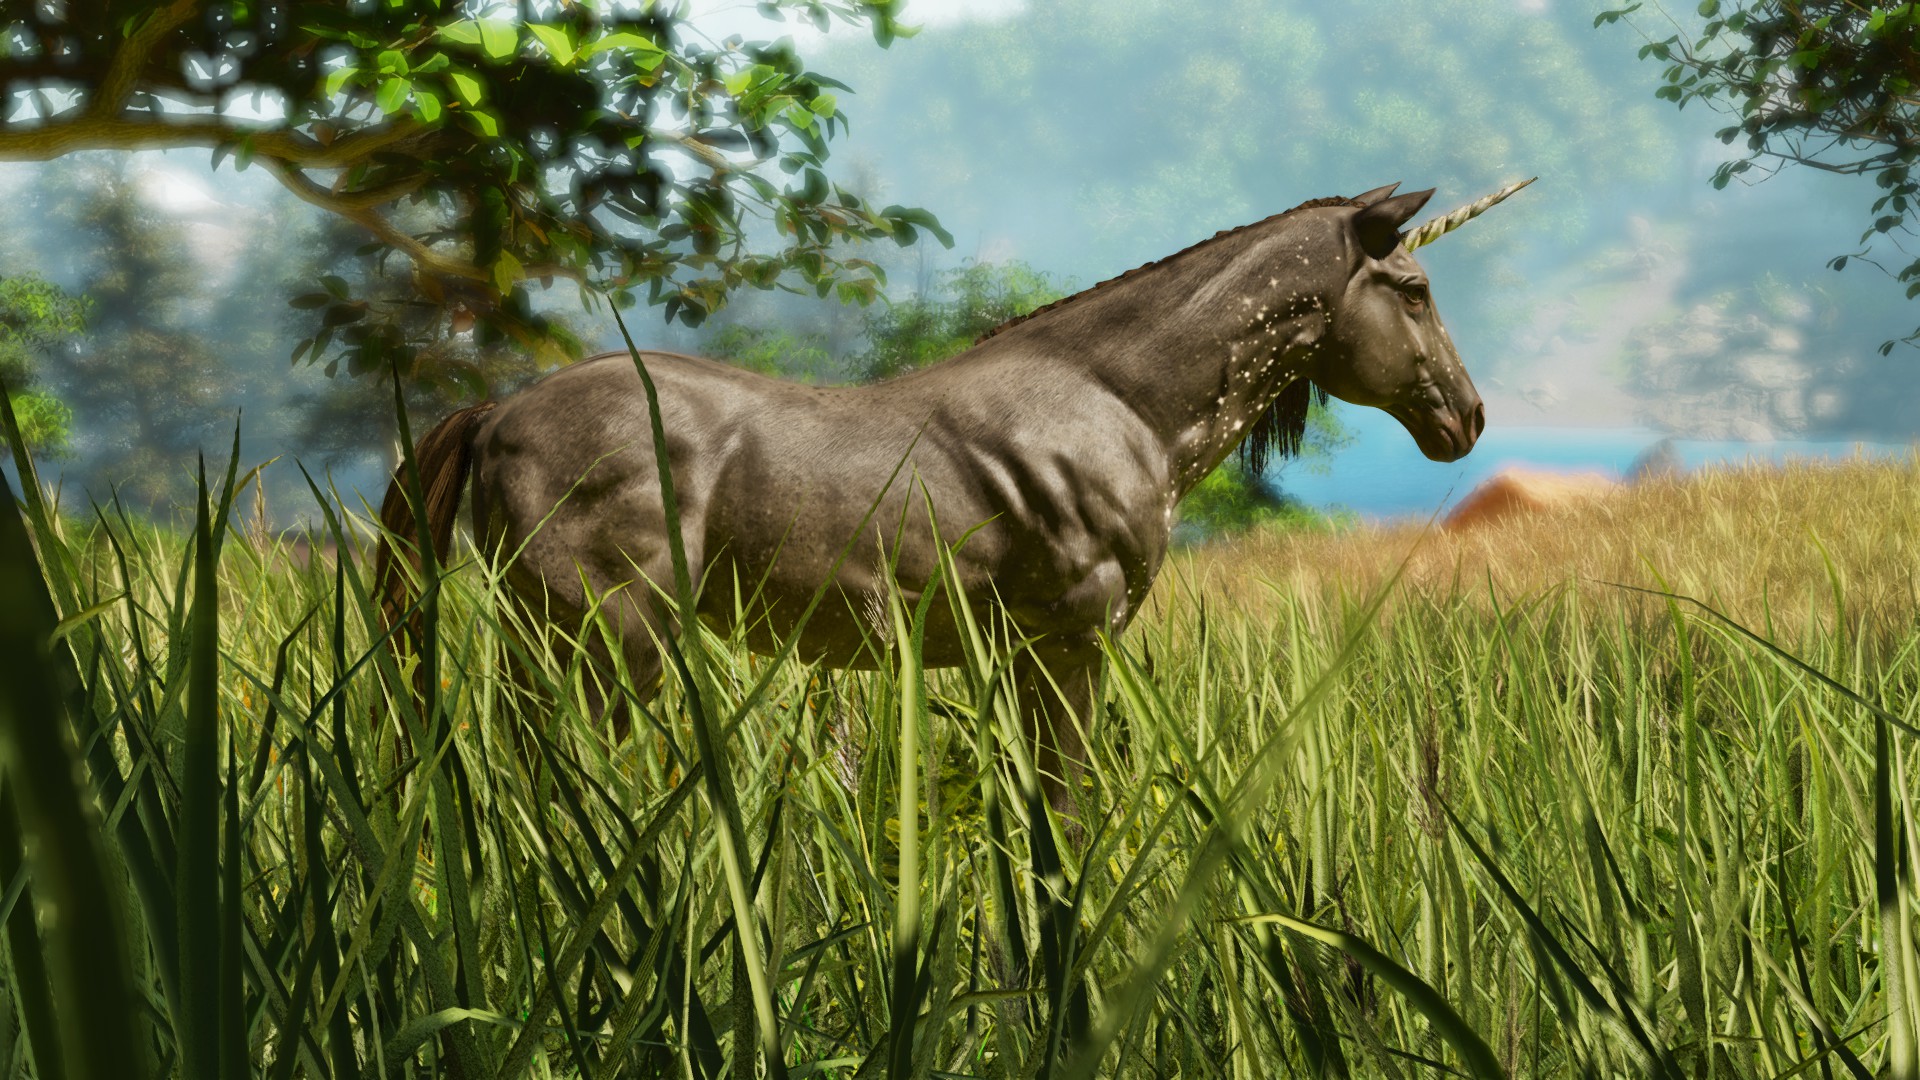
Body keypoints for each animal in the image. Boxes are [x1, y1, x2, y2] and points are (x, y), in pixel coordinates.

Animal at [376, 180, 1518, 805]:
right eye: (1415, 290)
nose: (1467, 418)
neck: (1113, 403)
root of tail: (498, 410)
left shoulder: (1014, 660)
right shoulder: (1073, 644)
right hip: (613, 647)